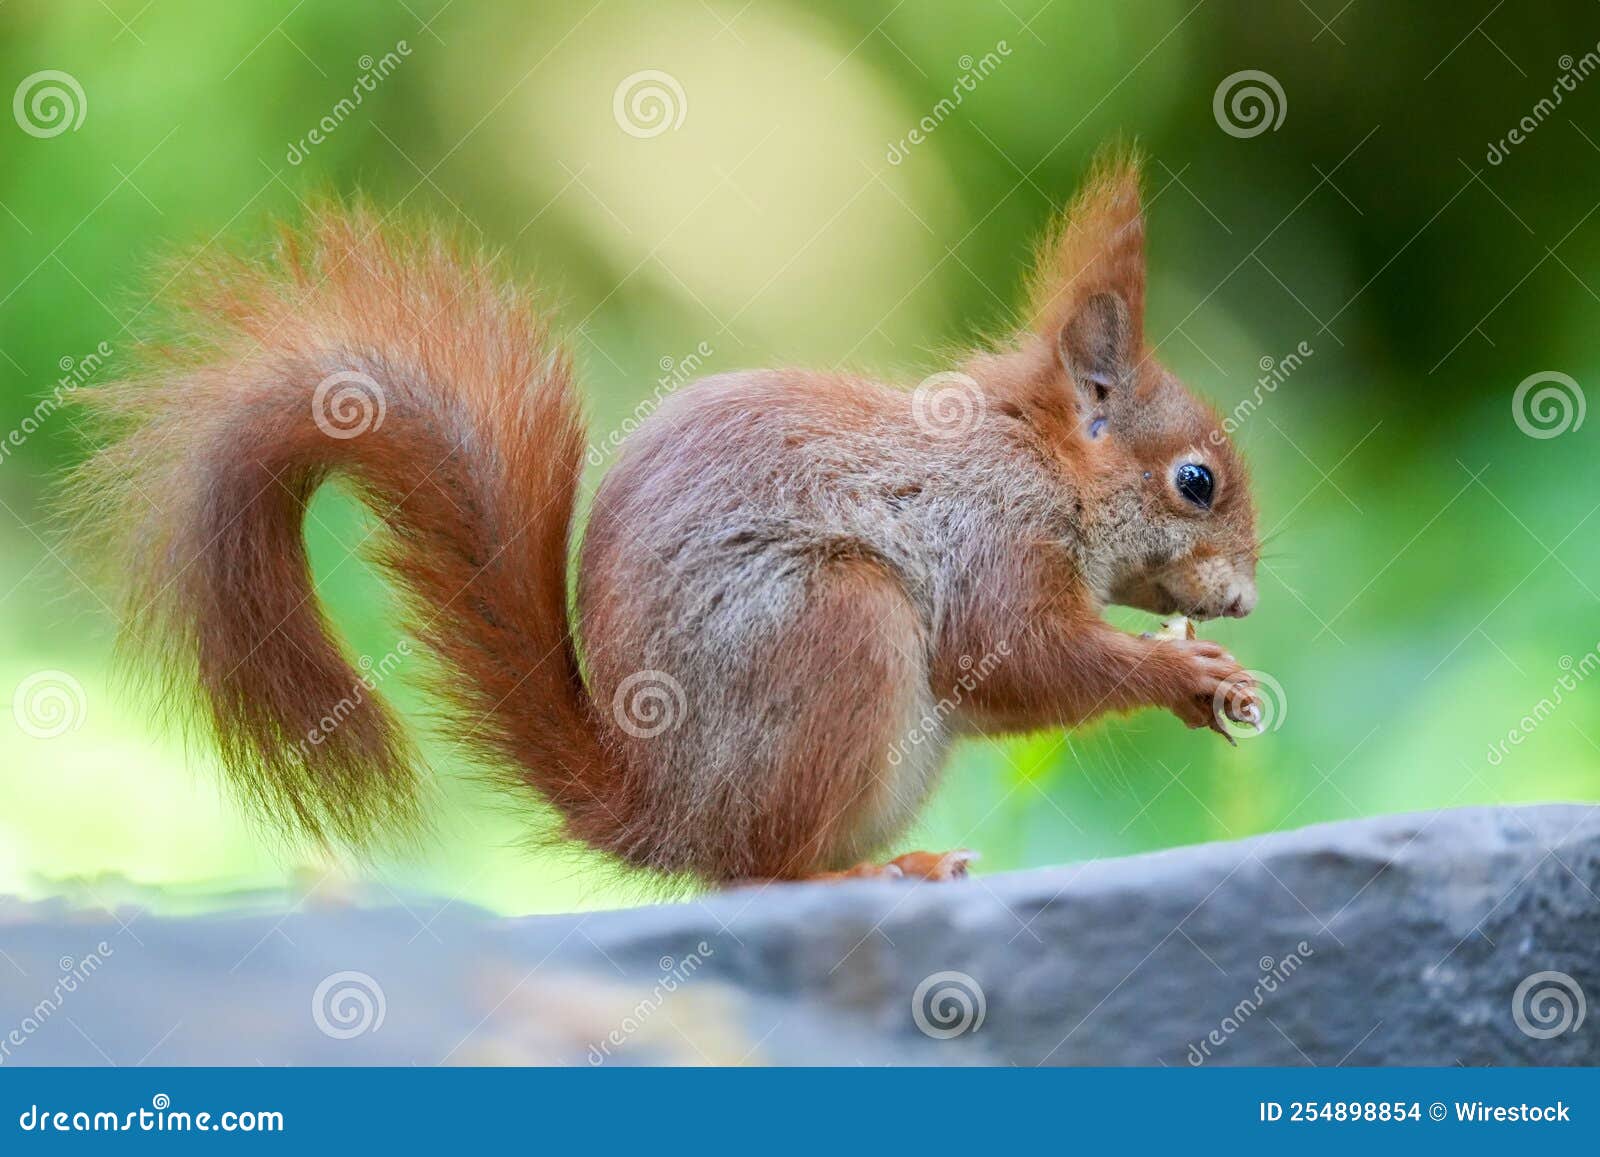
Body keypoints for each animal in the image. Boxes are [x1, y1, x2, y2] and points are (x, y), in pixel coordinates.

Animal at [71, 148, 1261, 887]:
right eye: (1195, 481)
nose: (1247, 599)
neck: (1038, 458)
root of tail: (659, 811)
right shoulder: (990, 537)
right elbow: (1015, 656)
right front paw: (1187, 672)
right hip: (833, 626)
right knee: (759, 875)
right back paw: (885, 868)